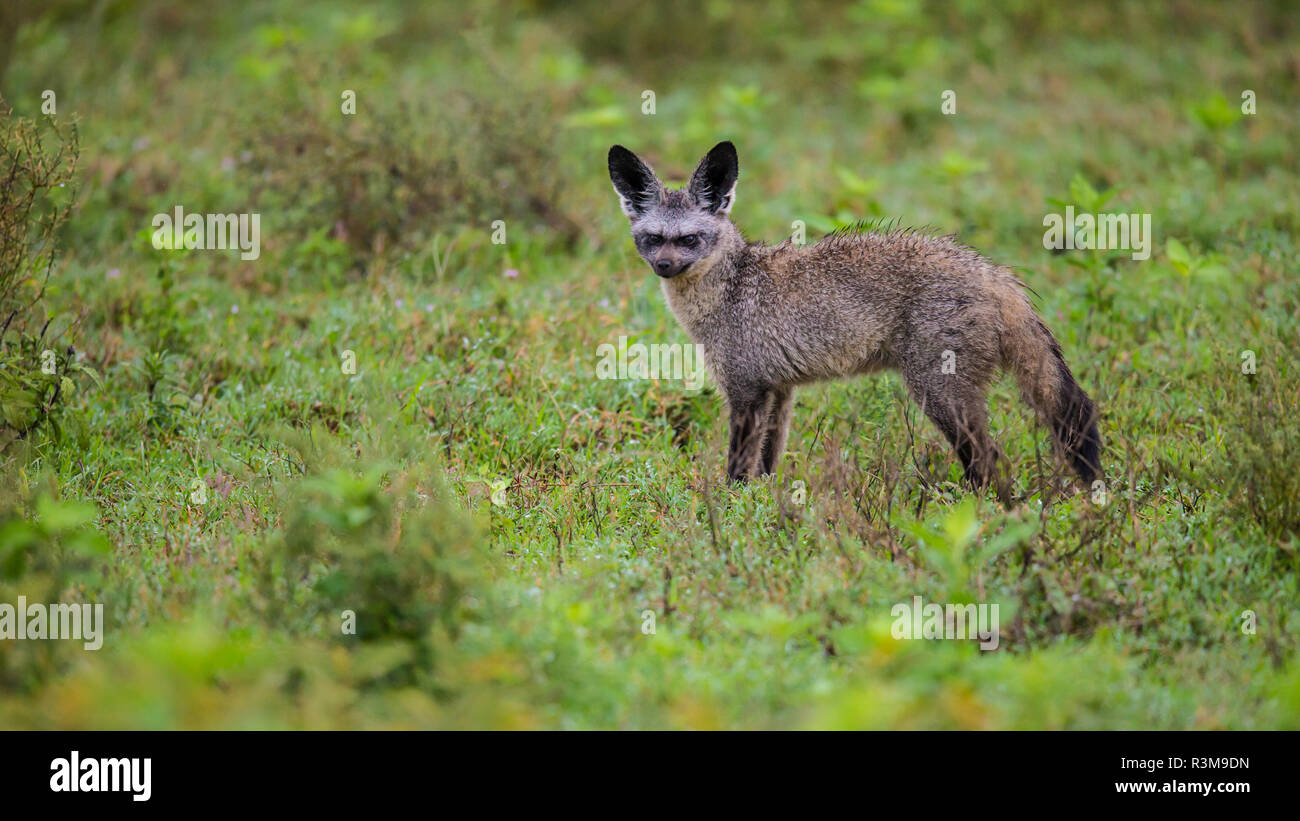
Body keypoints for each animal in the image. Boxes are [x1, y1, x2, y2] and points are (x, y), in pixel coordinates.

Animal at [607, 140, 1102, 490]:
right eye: (653, 239)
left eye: (689, 240)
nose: (664, 266)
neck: (731, 287)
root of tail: (993, 273)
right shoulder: (778, 391)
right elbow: (767, 466)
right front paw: (761, 509)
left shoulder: (745, 391)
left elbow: (736, 468)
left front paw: (731, 513)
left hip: (939, 395)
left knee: (991, 460)